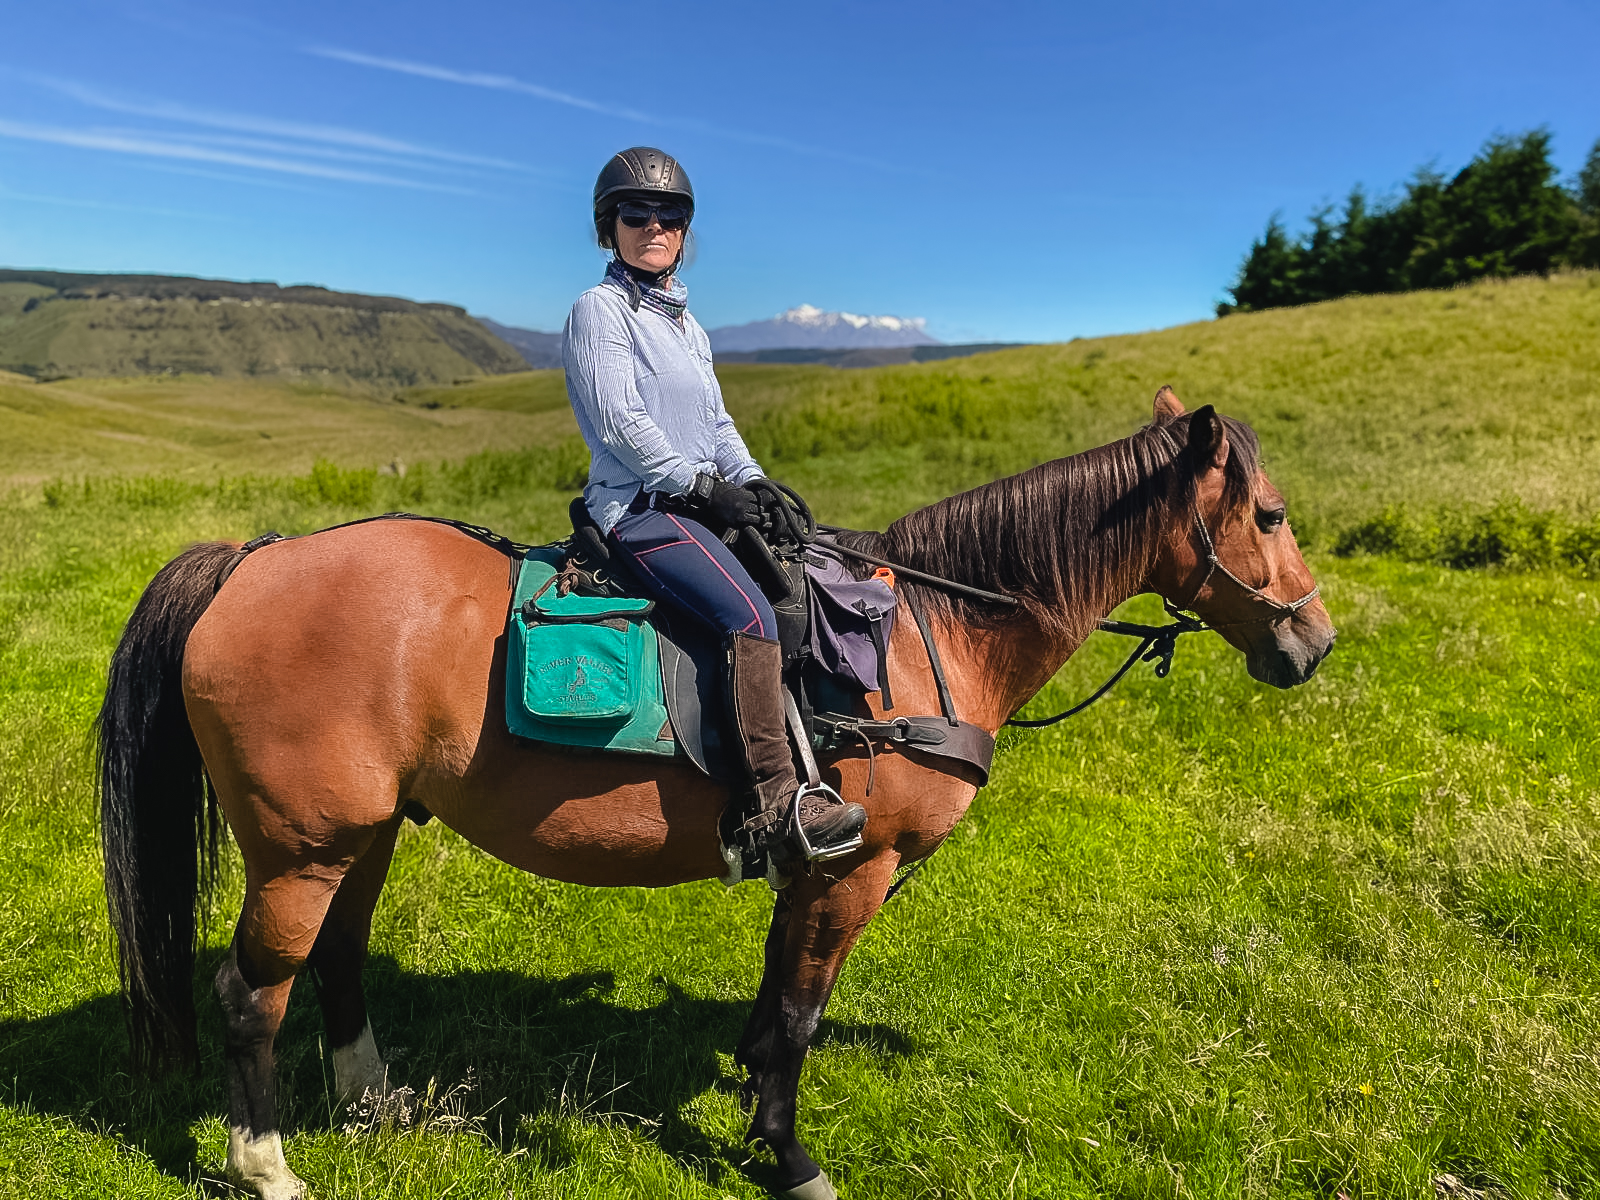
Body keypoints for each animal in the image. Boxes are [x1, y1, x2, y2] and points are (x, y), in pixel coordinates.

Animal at [96, 388, 1335, 1200]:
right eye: (1270, 518)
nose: (1312, 643)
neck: (928, 633)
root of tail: (253, 559)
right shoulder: (855, 868)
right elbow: (795, 1019)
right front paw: (790, 1159)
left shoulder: (811, 869)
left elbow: (775, 1007)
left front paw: (752, 1118)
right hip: (301, 847)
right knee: (250, 994)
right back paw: (266, 1165)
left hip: (363, 834)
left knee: (336, 961)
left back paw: (374, 1102)